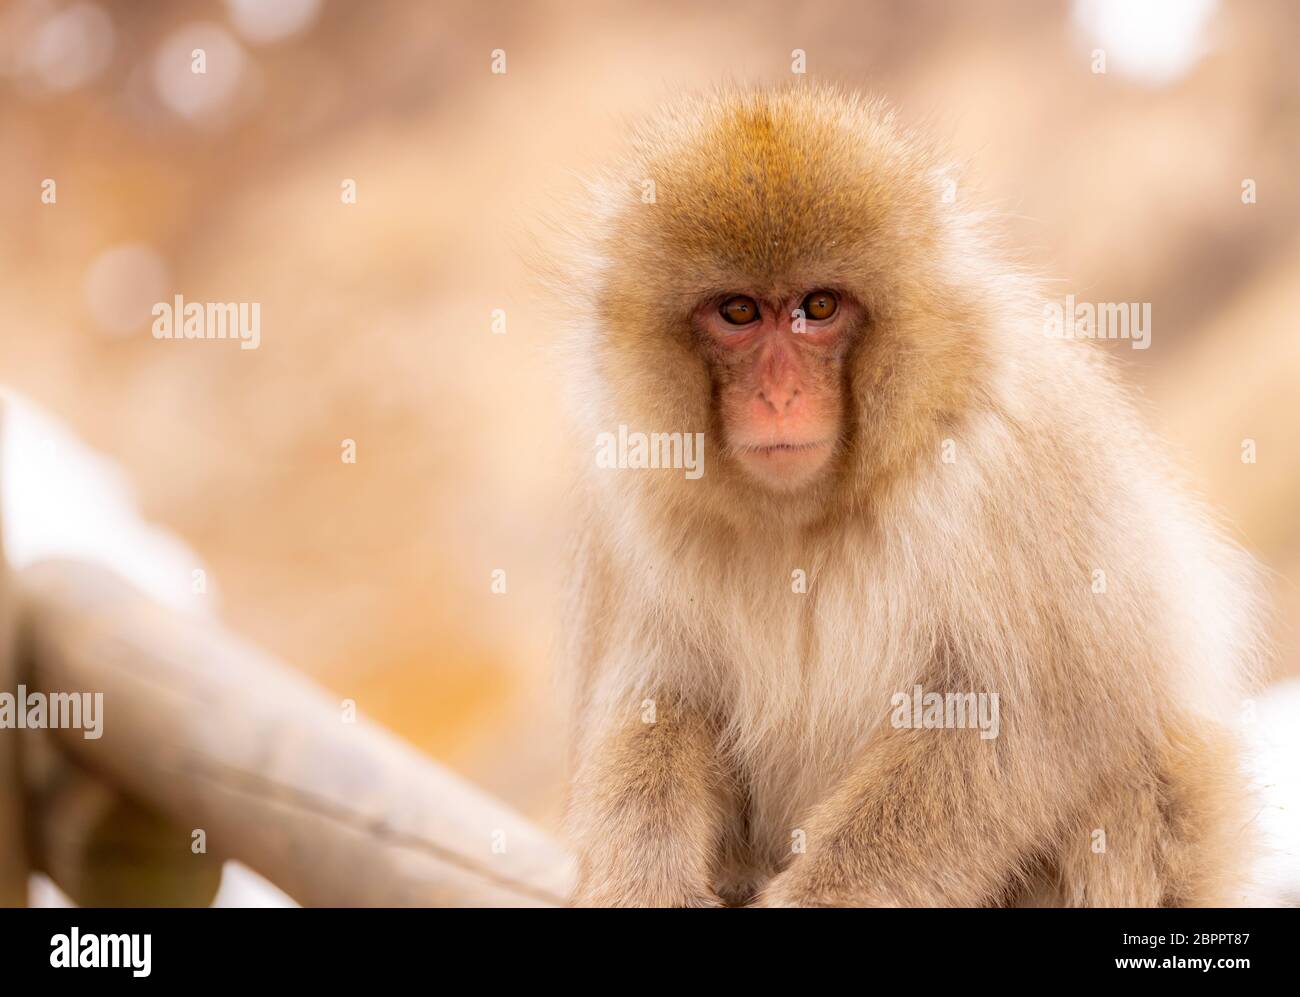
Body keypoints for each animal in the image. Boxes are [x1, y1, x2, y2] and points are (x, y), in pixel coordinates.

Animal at [554, 85, 1266, 907]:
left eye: (819, 307)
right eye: (738, 313)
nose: (780, 395)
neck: (811, 515)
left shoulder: (1014, 457)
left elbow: (1014, 723)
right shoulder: (635, 498)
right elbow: (658, 700)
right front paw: (643, 879)